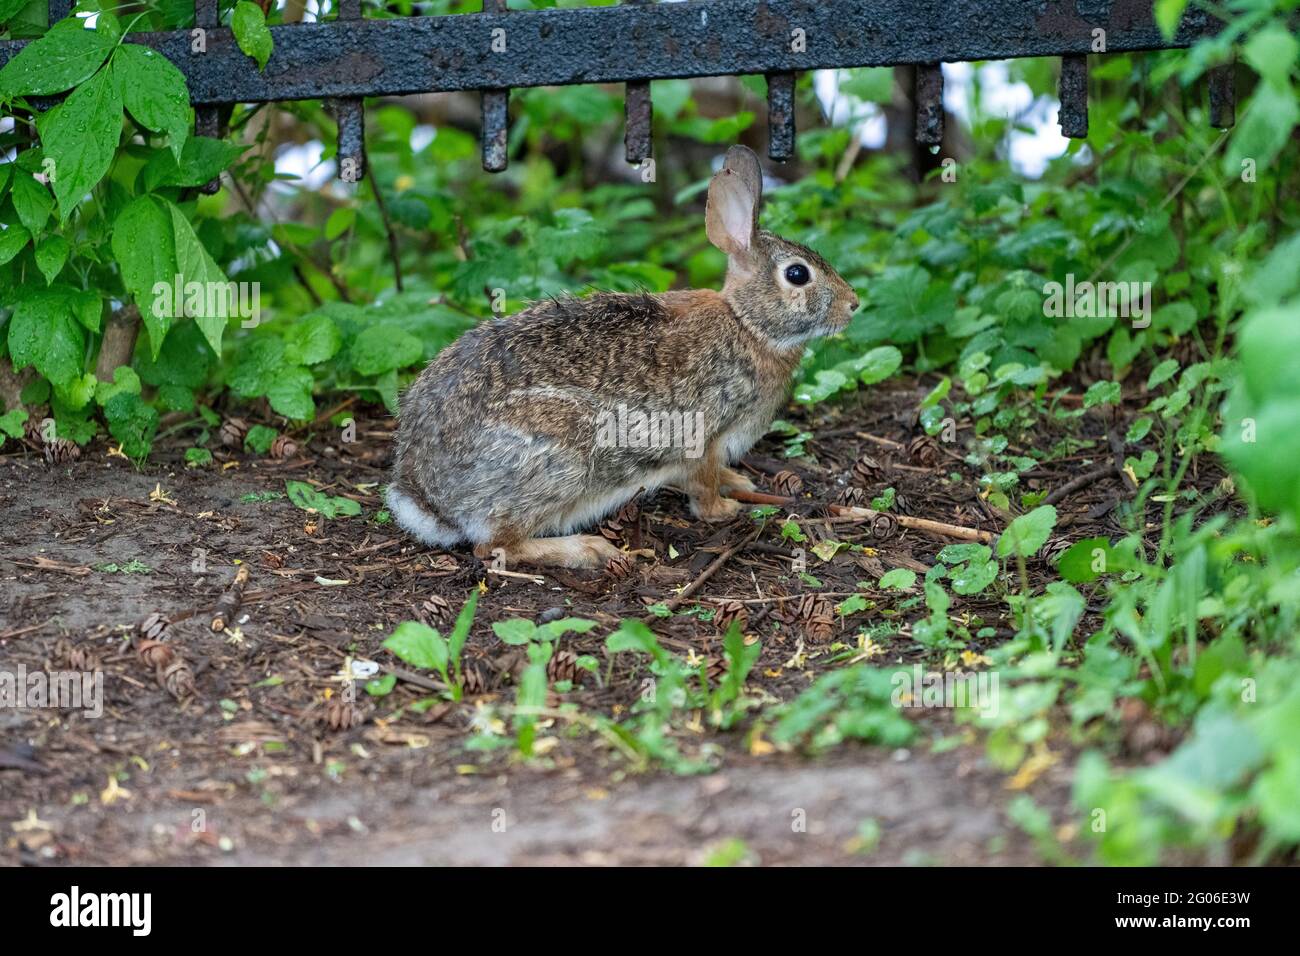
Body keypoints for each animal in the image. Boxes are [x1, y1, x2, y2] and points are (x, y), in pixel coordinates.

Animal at [387, 144, 859, 568]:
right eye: (797, 274)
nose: (853, 304)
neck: (747, 325)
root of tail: (426, 496)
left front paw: (737, 481)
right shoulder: (704, 436)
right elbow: (702, 485)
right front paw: (724, 510)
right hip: (561, 453)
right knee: (496, 546)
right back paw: (586, 550)